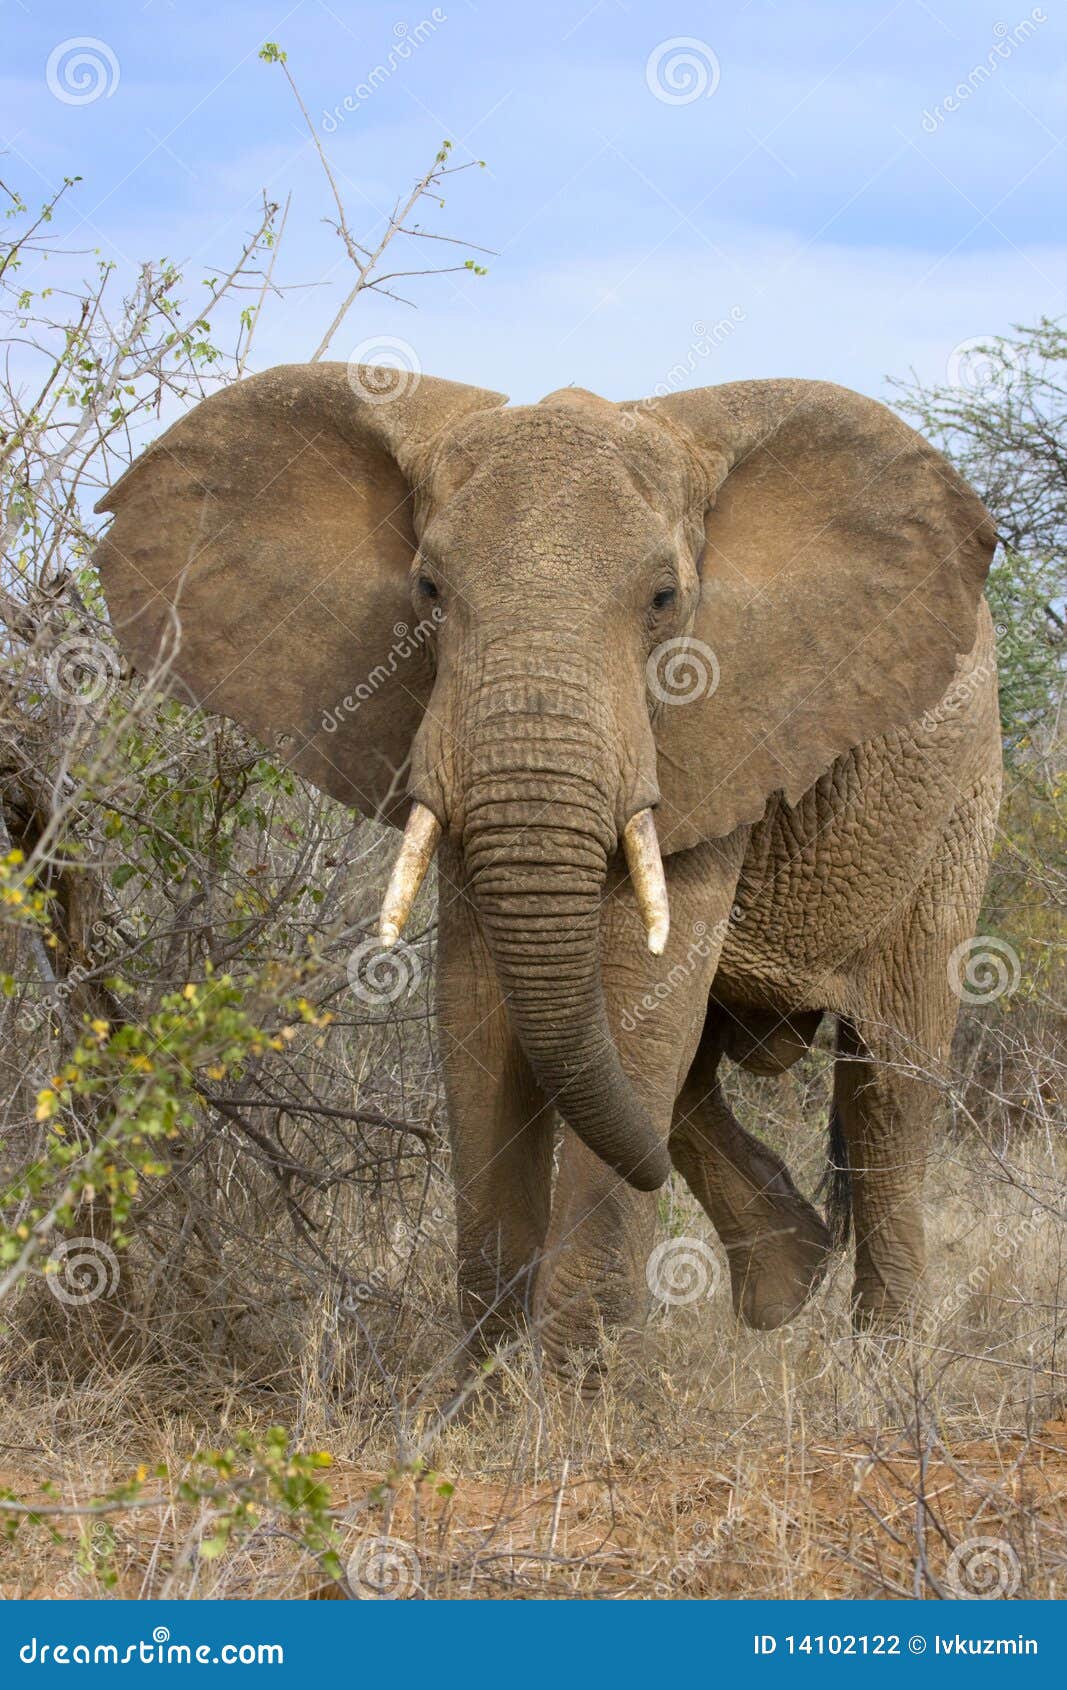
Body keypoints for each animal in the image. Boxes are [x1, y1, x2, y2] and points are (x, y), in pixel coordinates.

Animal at [93, 364, 1002, 1370]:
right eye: (428, 589)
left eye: (663, 601)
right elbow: (482, 1006)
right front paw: (484, 1383)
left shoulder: (718, 726)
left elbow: (640, 994)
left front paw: (576, 1385)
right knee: (689, 1081)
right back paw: (786, 1284)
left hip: (958, 808)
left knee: (889, 1079)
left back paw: (885, 1365)